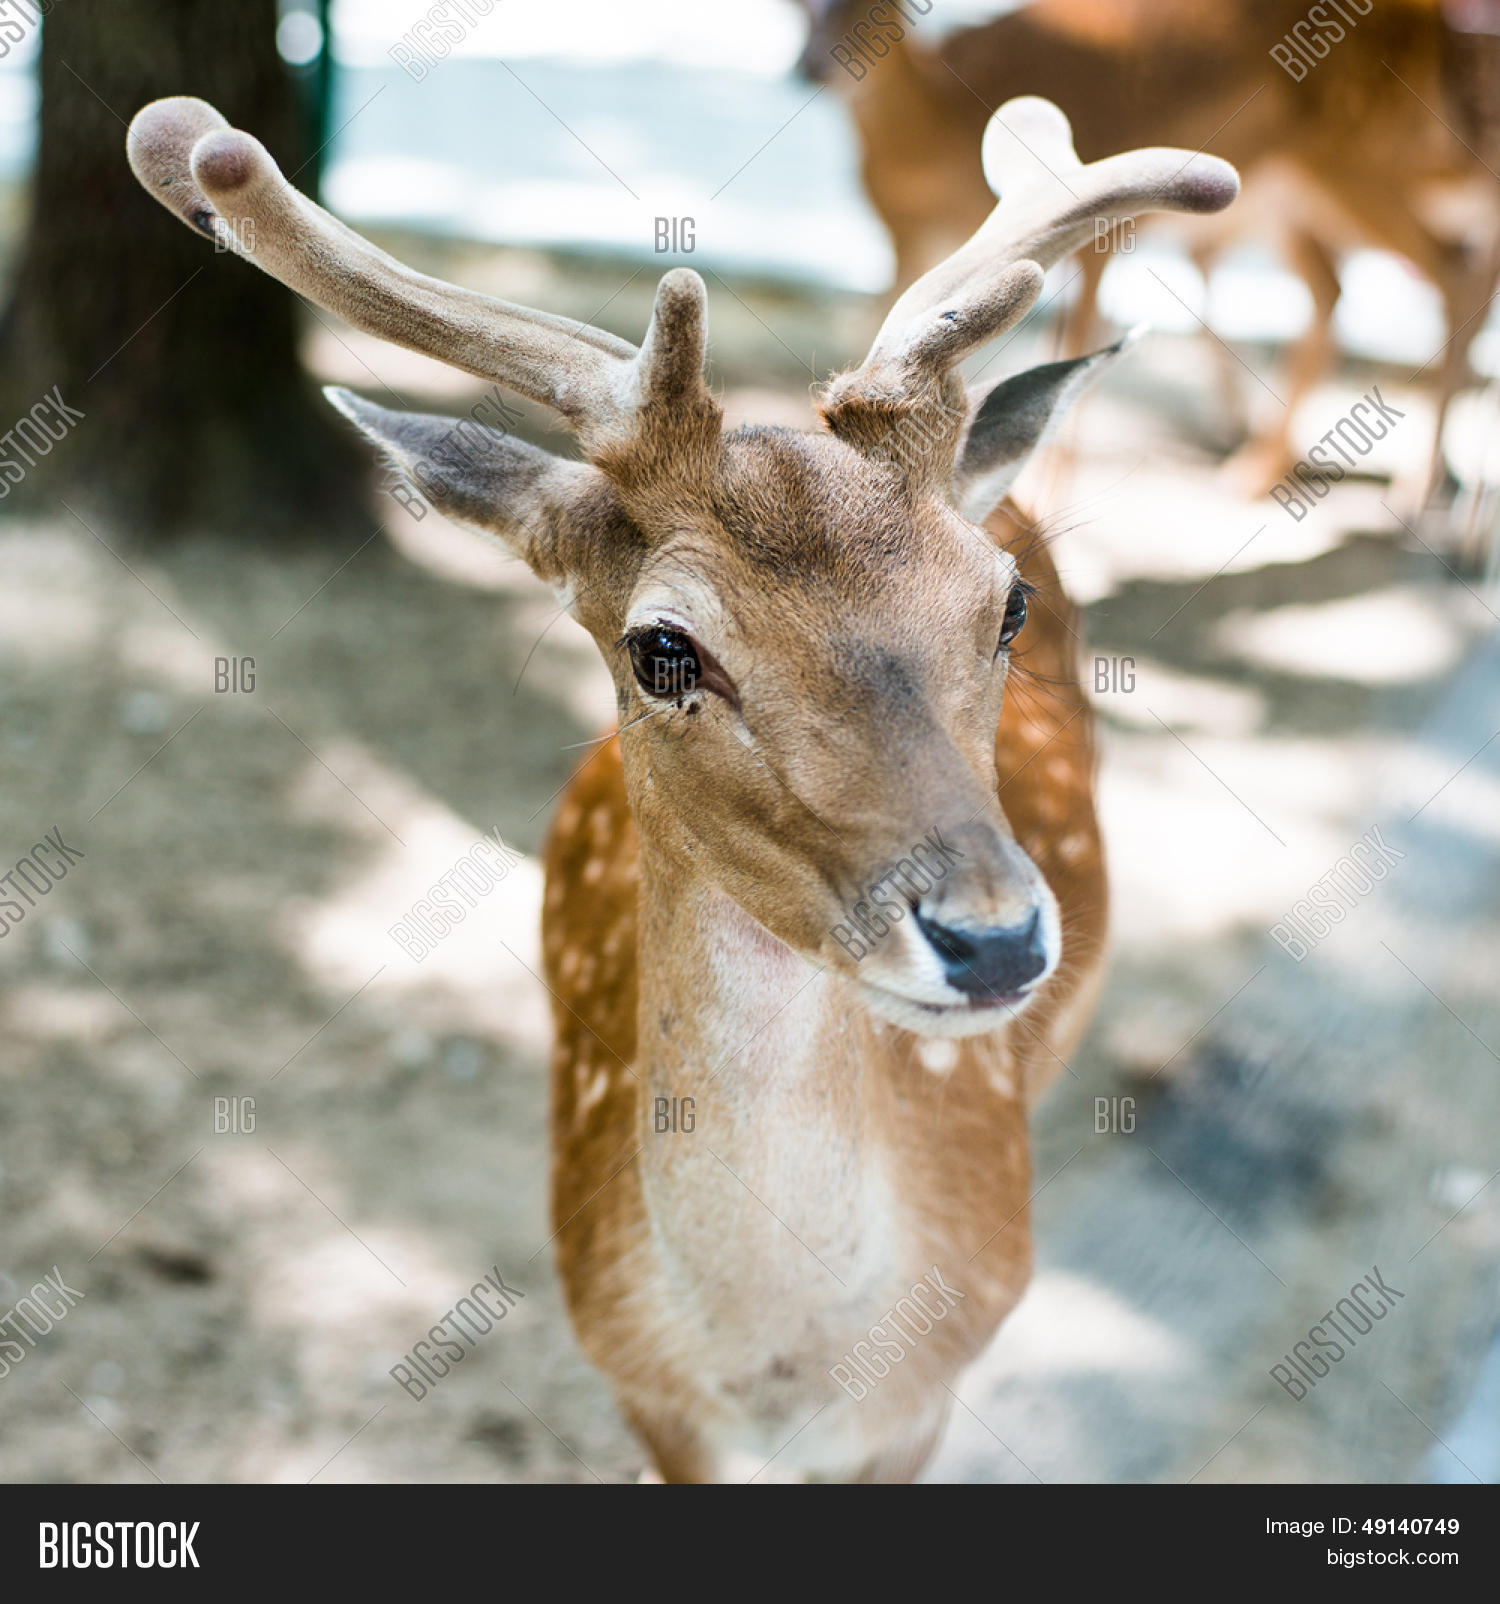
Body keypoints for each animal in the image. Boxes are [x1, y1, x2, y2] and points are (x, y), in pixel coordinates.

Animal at [126, 91, 1235, 1482]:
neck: (780, 1370)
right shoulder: (643, 1390)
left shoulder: (928, 1395)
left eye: (1006, 604)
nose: (993, 938)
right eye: (664, 648)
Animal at [798, 0, 1500, 520]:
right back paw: (1264, 464)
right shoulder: (898, 236)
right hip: (1300, 195)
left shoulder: (1106, 237)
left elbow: (1079, 339)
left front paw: (1046, 506)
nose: (810, 67)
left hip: (1358, 162)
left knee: (1455, 265)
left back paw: (1420, 491)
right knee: (1336, 290)